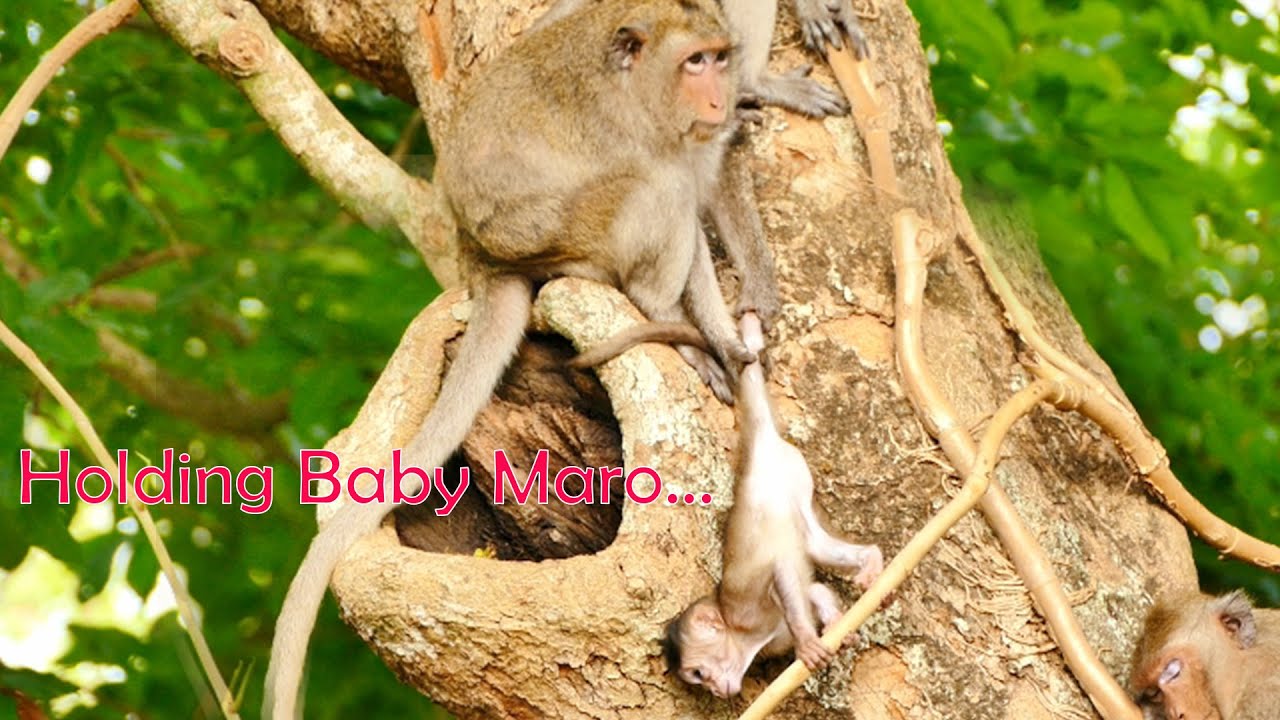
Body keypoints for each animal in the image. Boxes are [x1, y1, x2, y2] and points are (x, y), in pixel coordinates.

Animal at [263, 2, 759, 717]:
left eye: (717, 57)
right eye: (695, 62)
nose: (720, 96)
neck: (638, 83)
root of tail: (486, 260)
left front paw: (725, 339)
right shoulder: (636, 131)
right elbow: (672, 186)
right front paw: (697, 333)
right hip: (576, 234)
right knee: (654, 188)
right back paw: (656, 308)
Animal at [664, 311, 883, 698]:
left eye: (698, 672)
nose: (716, 691)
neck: (747, 641)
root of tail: (757, 447)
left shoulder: (745, 608)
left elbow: (779, 570)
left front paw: (806, 638)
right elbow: (812, 589)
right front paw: (835, 625)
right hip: (796, 481)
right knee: (816, 543)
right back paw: (870, 559)